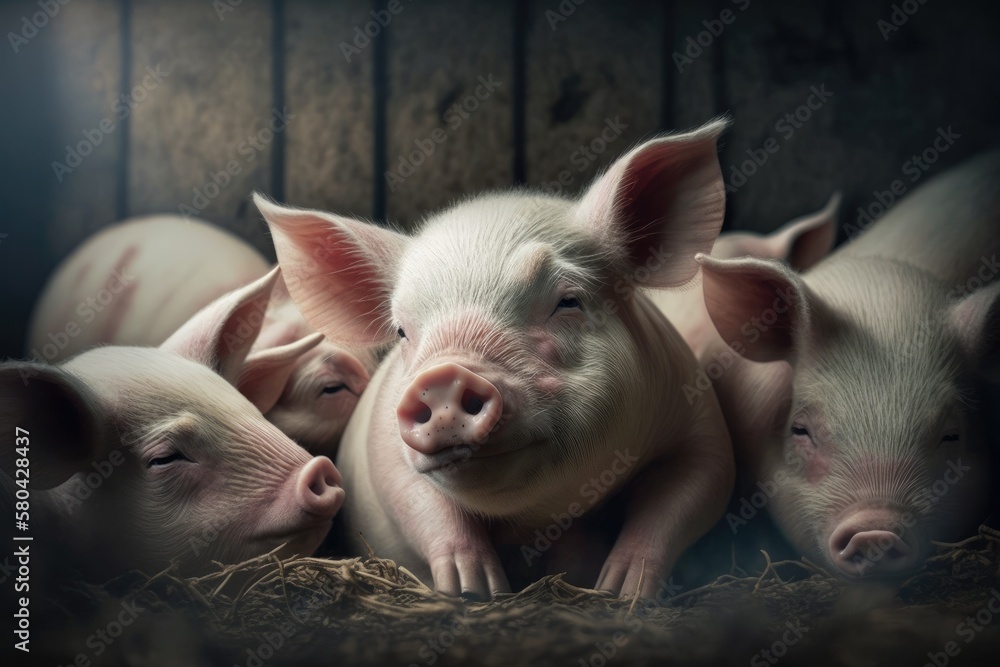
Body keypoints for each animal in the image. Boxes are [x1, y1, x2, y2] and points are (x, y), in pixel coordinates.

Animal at [254, 118, 737, 599]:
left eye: (568, 301)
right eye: (402, 331)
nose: (442, 376)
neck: (536, 516)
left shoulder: (696, 421)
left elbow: (691, 491)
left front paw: (619, 591)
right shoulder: (383, 450)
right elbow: (424, 504)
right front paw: (474, 591)